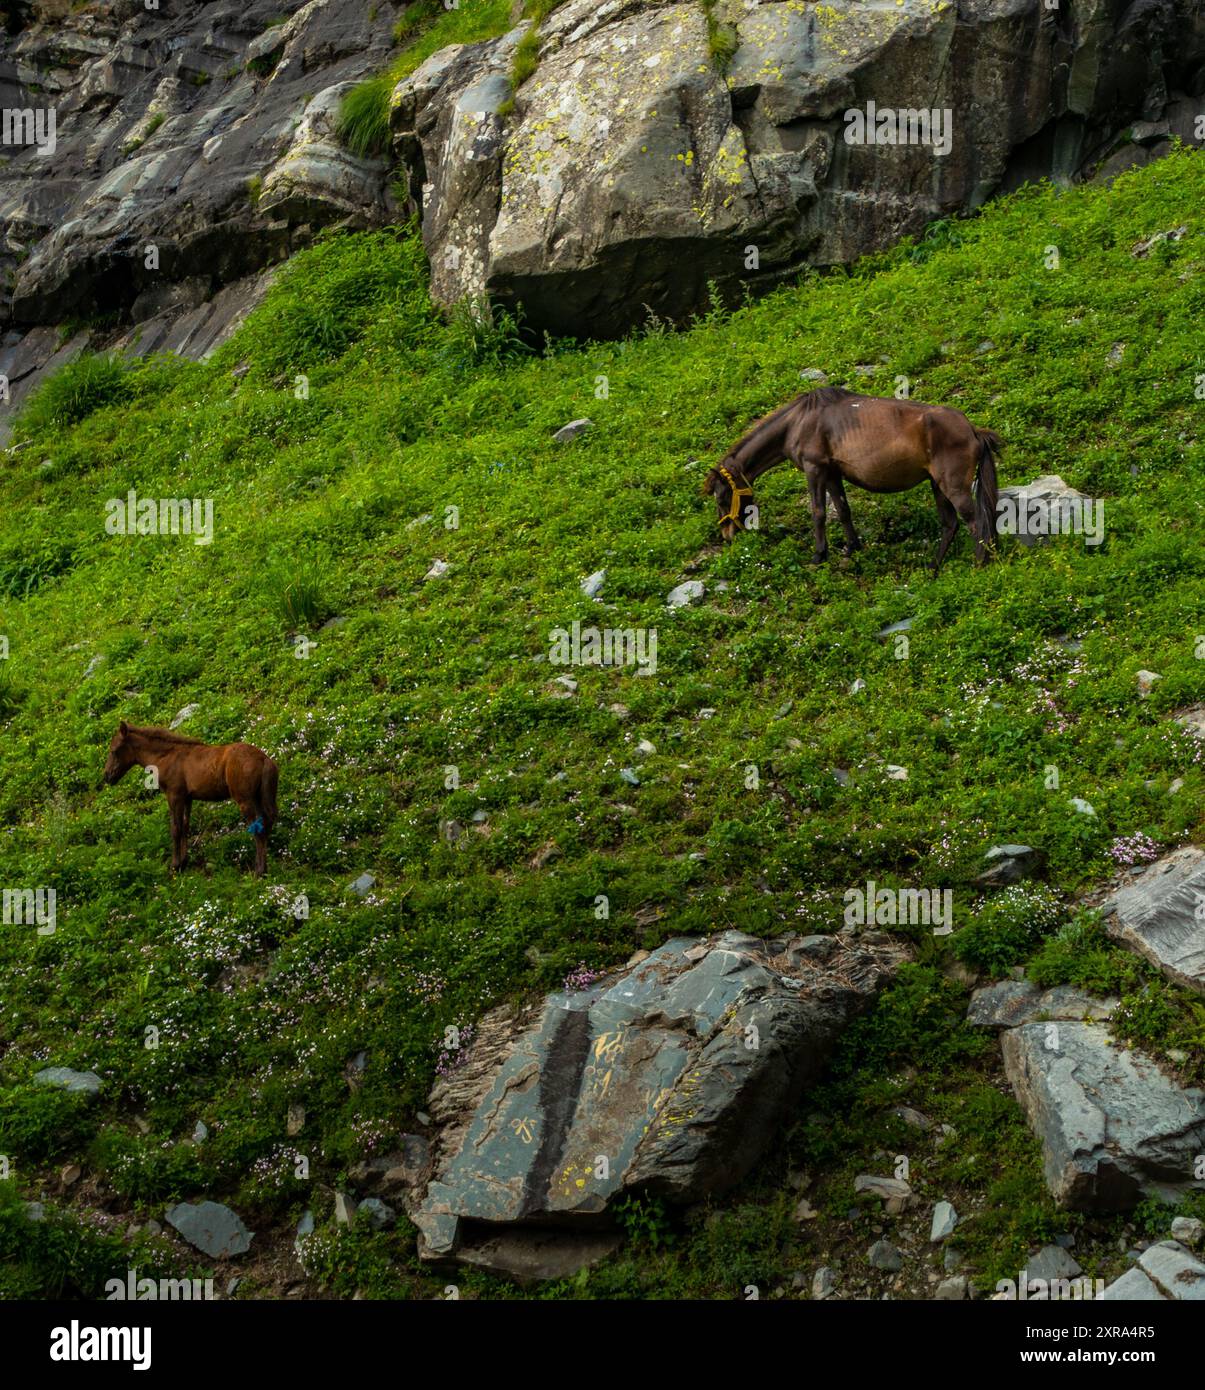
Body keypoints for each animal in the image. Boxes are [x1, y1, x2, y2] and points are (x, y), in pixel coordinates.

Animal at [102, 721, 279, 876]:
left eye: (114, 750)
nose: (107, 776)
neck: (166, 757)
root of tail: (265, 760)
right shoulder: (187, 798)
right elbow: (185, 827)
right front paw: (184, 862)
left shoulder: (174, 795)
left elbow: (175, 828)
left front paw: (175, 866)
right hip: (259, 797)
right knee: (267, 822)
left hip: (244, 799)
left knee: (258, 828)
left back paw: (259, 871)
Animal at [702, 386, 1002, 573]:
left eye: (722, 496)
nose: (726, 535)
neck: (798, 421)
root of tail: (973, 430)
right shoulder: (833, 474)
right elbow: (843, 510)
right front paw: (851, 547)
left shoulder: (815, 469)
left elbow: (819, 513)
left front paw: (819, 555)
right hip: (937, 485)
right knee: (951, 524)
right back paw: (934, 566)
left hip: (952, 485)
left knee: (975, 521)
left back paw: (979, 563)